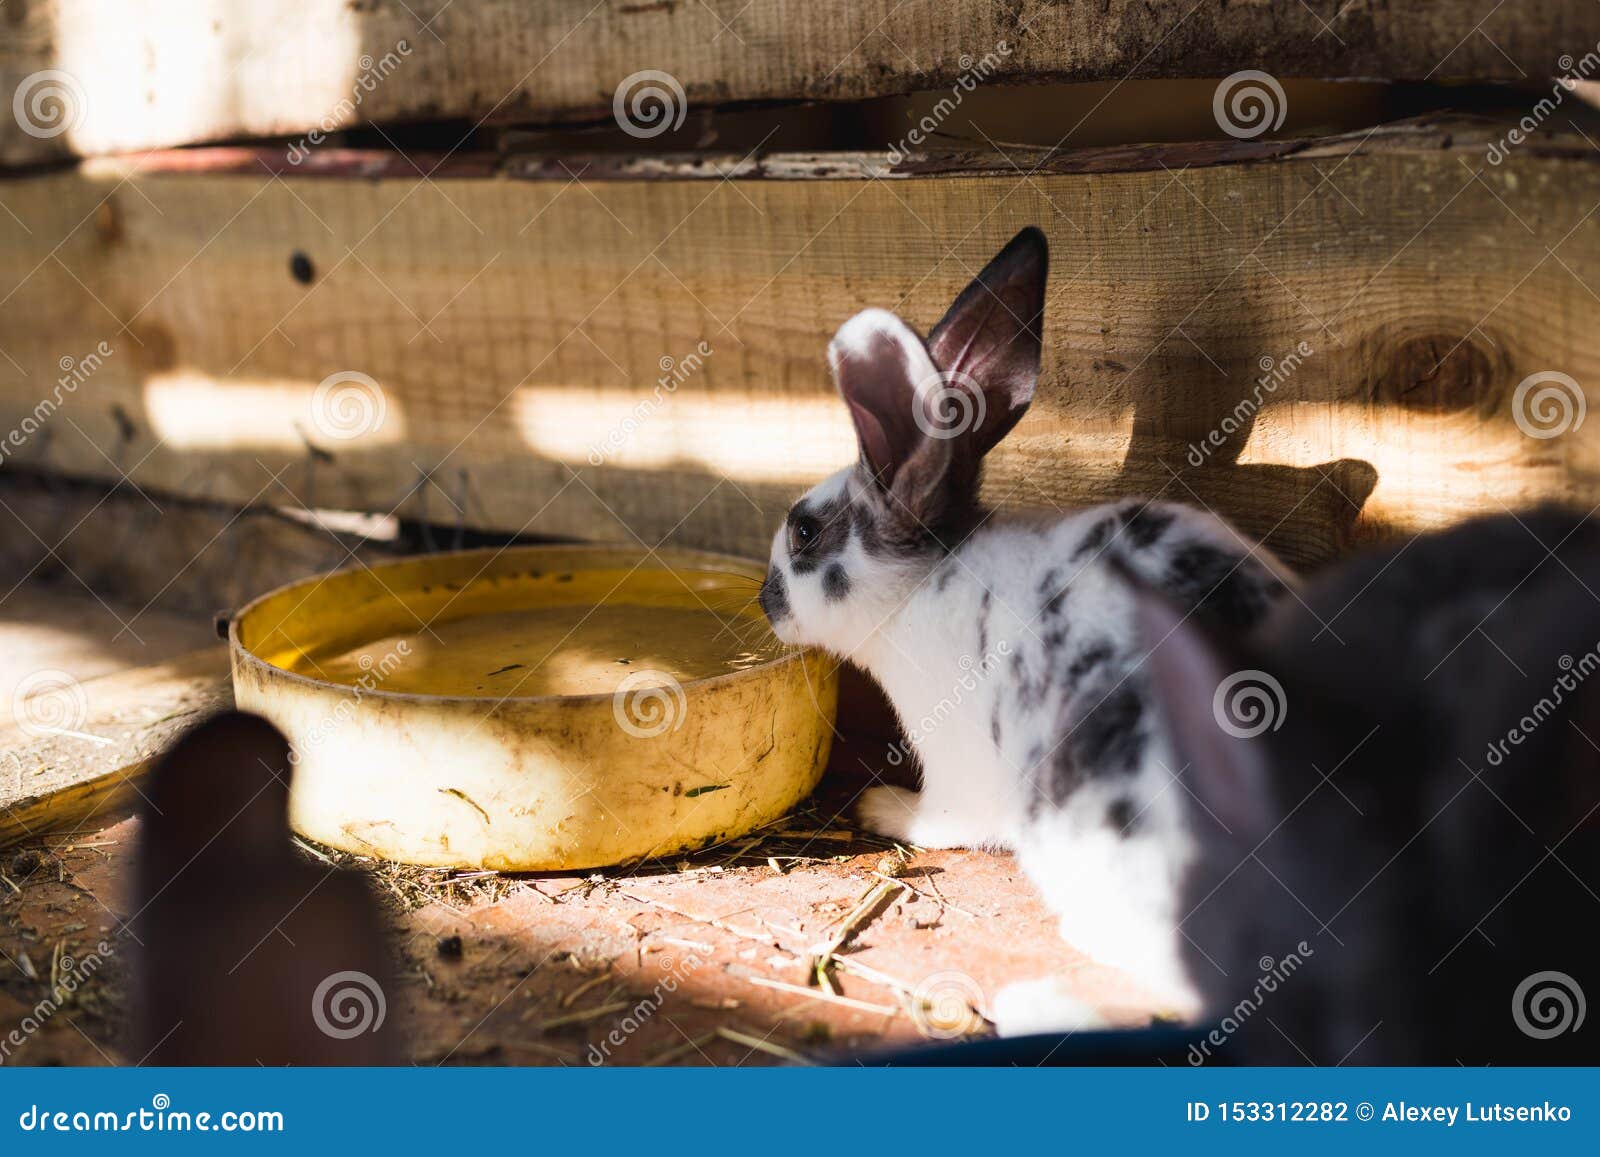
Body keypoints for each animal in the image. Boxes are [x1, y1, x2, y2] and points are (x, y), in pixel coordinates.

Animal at [757, 226, 1295, 1032]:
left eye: (804, 532)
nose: (765, 600)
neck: (922, 585)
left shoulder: (956, 770)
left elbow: (943, 820)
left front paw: (884, 807)